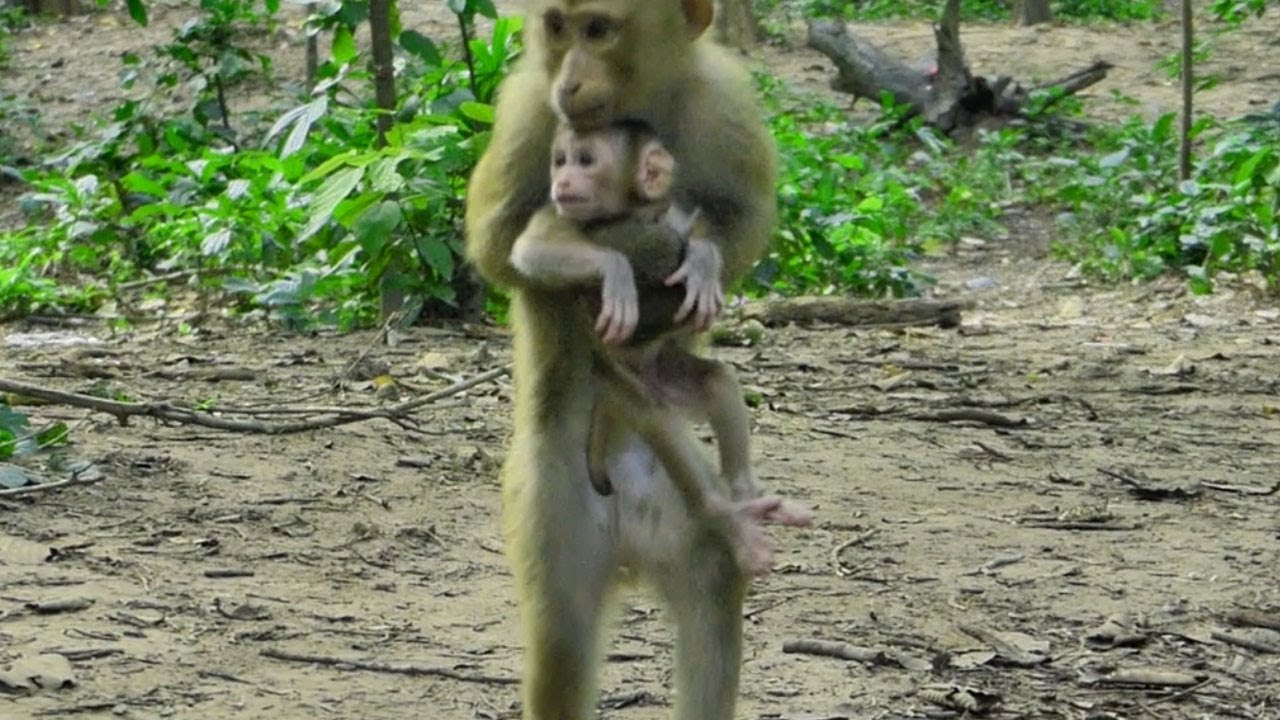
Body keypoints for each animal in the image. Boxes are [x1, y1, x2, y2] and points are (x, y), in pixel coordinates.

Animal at [463, 2, 810, 719]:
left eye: (599, 29)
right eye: (557, 26)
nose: (569, 80)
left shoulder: (722, 100)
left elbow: (747, 223)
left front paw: (698, 258)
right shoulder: (526, 111)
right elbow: (498, 247)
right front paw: (624, 264)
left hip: (670, 515)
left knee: (711, 593)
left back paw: (735, 508)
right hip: (557, 506)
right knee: (562, 639)